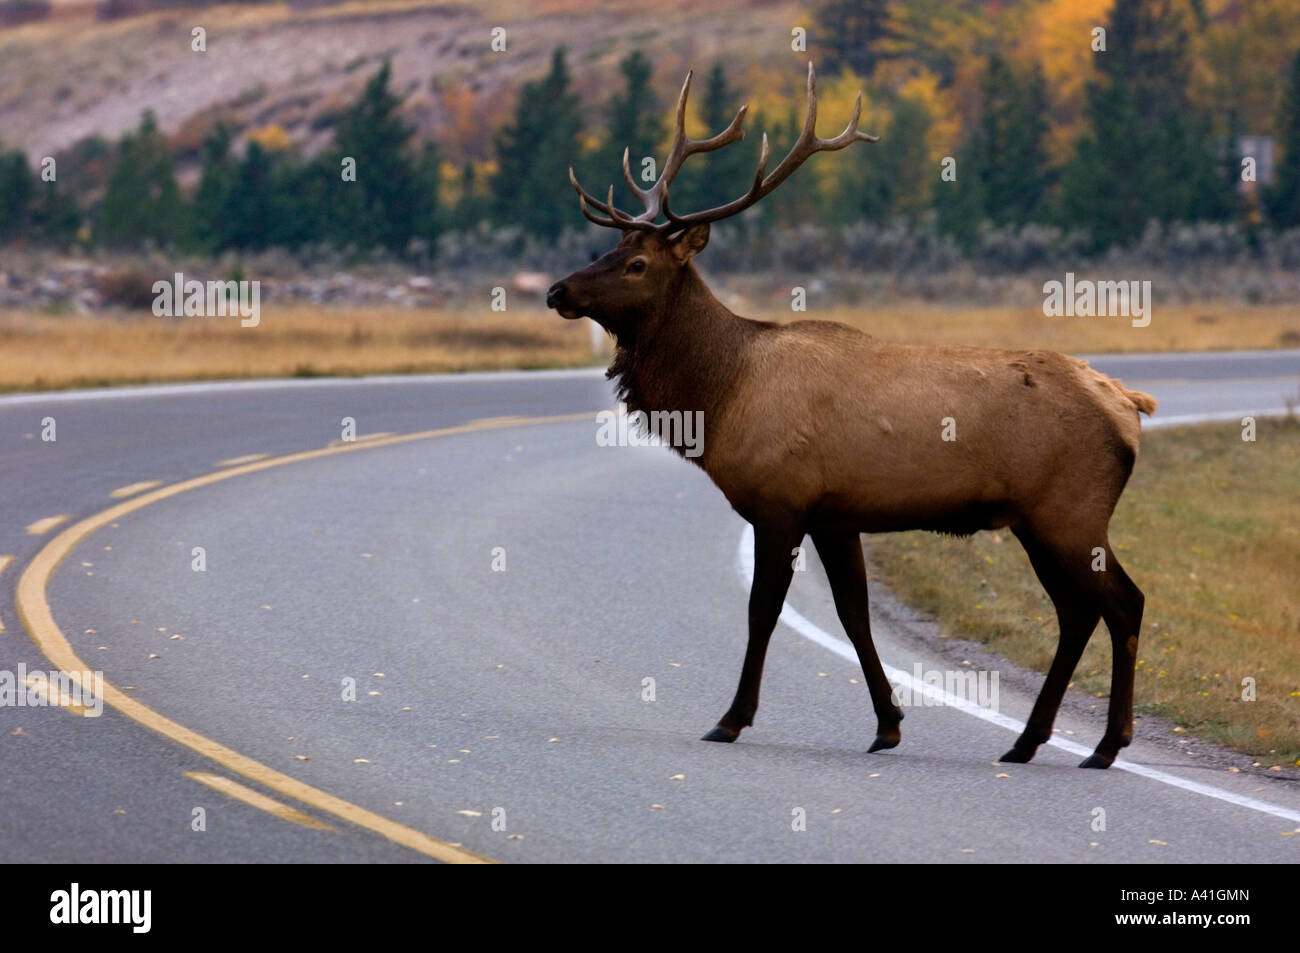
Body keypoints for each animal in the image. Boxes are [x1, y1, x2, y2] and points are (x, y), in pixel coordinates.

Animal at [547, 63, 1156, 769]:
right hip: (1038, 520)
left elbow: (762, 612)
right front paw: (888, 724)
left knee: (1123, 603)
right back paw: (1028, 741)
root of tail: (1129, 406)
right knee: (1077, 613)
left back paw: (1106, 744)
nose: (557, 289)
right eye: (607, 248)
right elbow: (853, 613)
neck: (722, 395)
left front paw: (731, 719)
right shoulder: (835, 514)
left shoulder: (781, 501)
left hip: (1071, 511)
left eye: (637, 263)